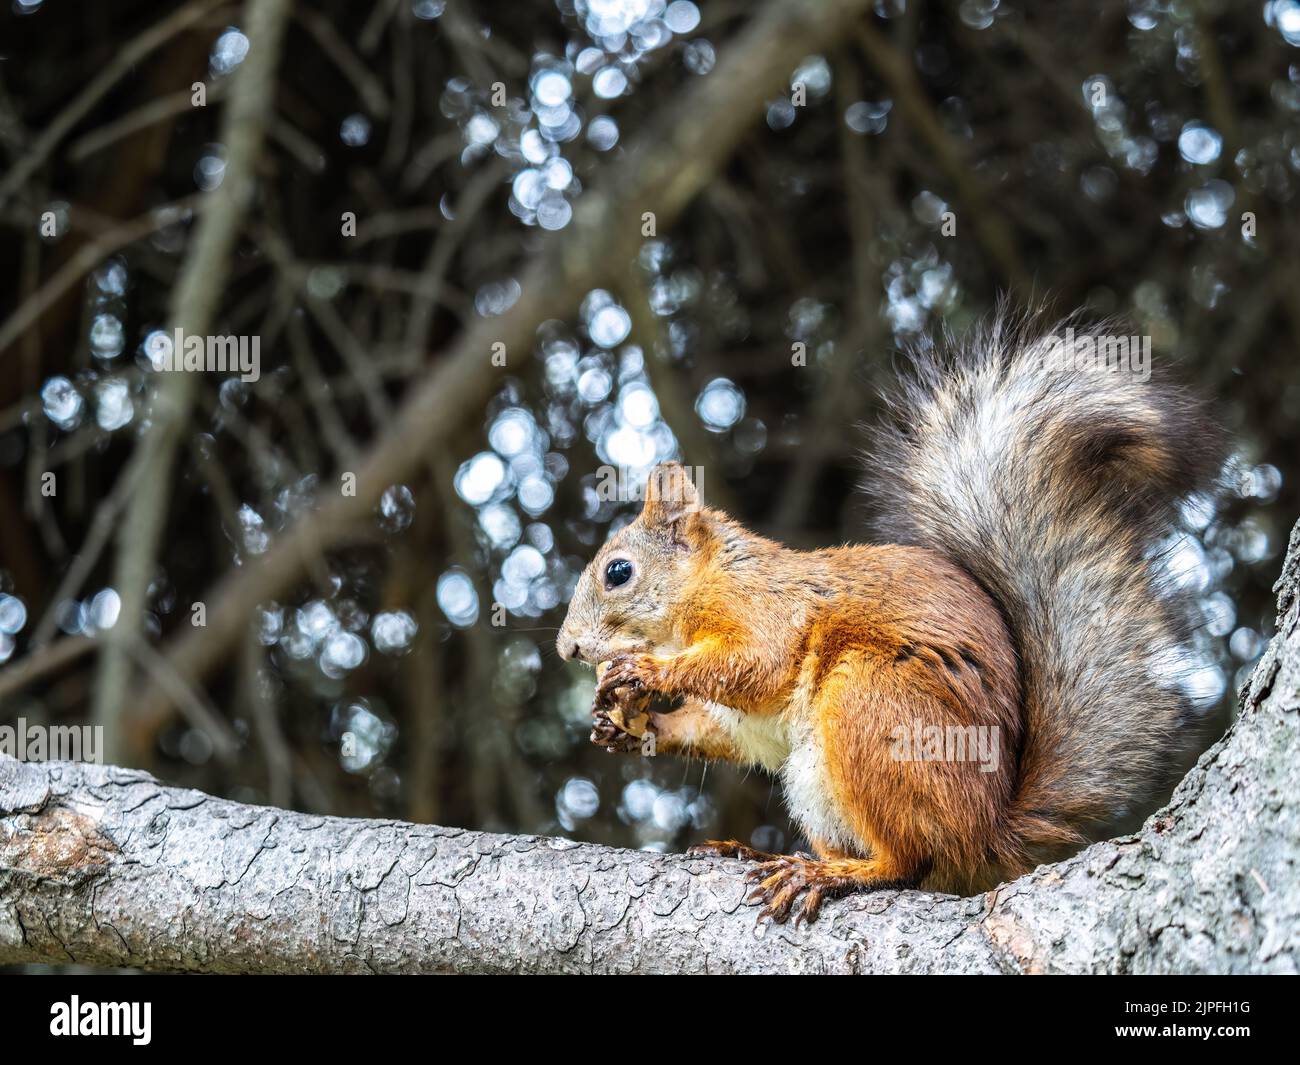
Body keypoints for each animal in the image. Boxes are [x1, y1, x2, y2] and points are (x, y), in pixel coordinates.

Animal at [556, 313, 1225, 925]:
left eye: (618, 571)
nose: (567, 650)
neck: (699, 596)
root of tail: (988, 833)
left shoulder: (764, 610)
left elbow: (755, 665)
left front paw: (644, 672)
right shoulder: (744, 720)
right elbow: (720, 730)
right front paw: (628, 727)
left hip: (871, 704)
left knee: (906, 861)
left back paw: (828, 874)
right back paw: (755, 854)